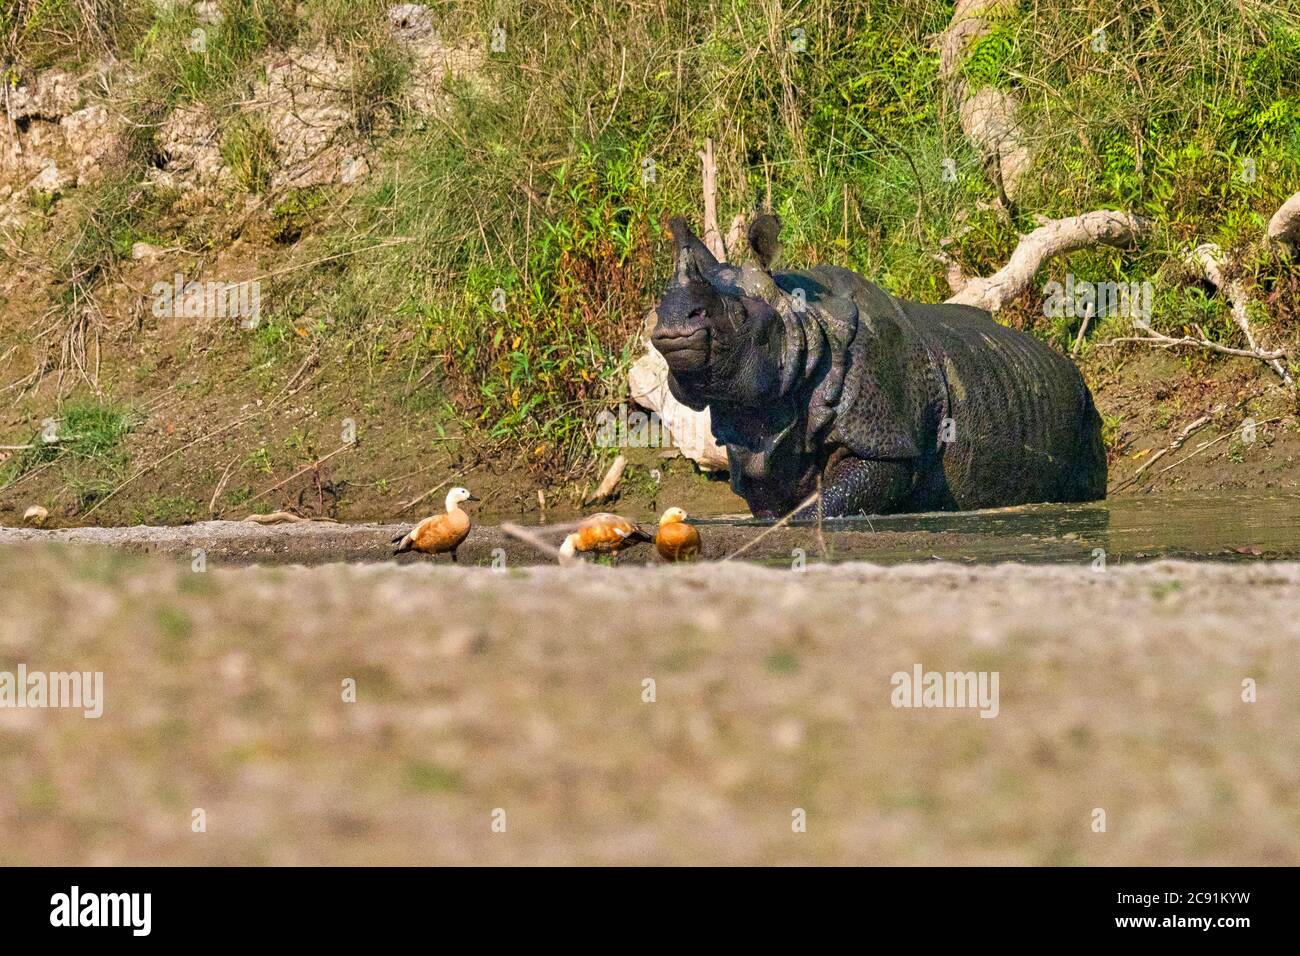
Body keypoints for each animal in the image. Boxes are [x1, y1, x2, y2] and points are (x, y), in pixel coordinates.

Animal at [650, 216, 1107, 519]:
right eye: (661, 302)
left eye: (740, 314)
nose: (672, 324)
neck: (802, 320)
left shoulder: (886, 440)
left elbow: (826, 502)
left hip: (1082, 400)